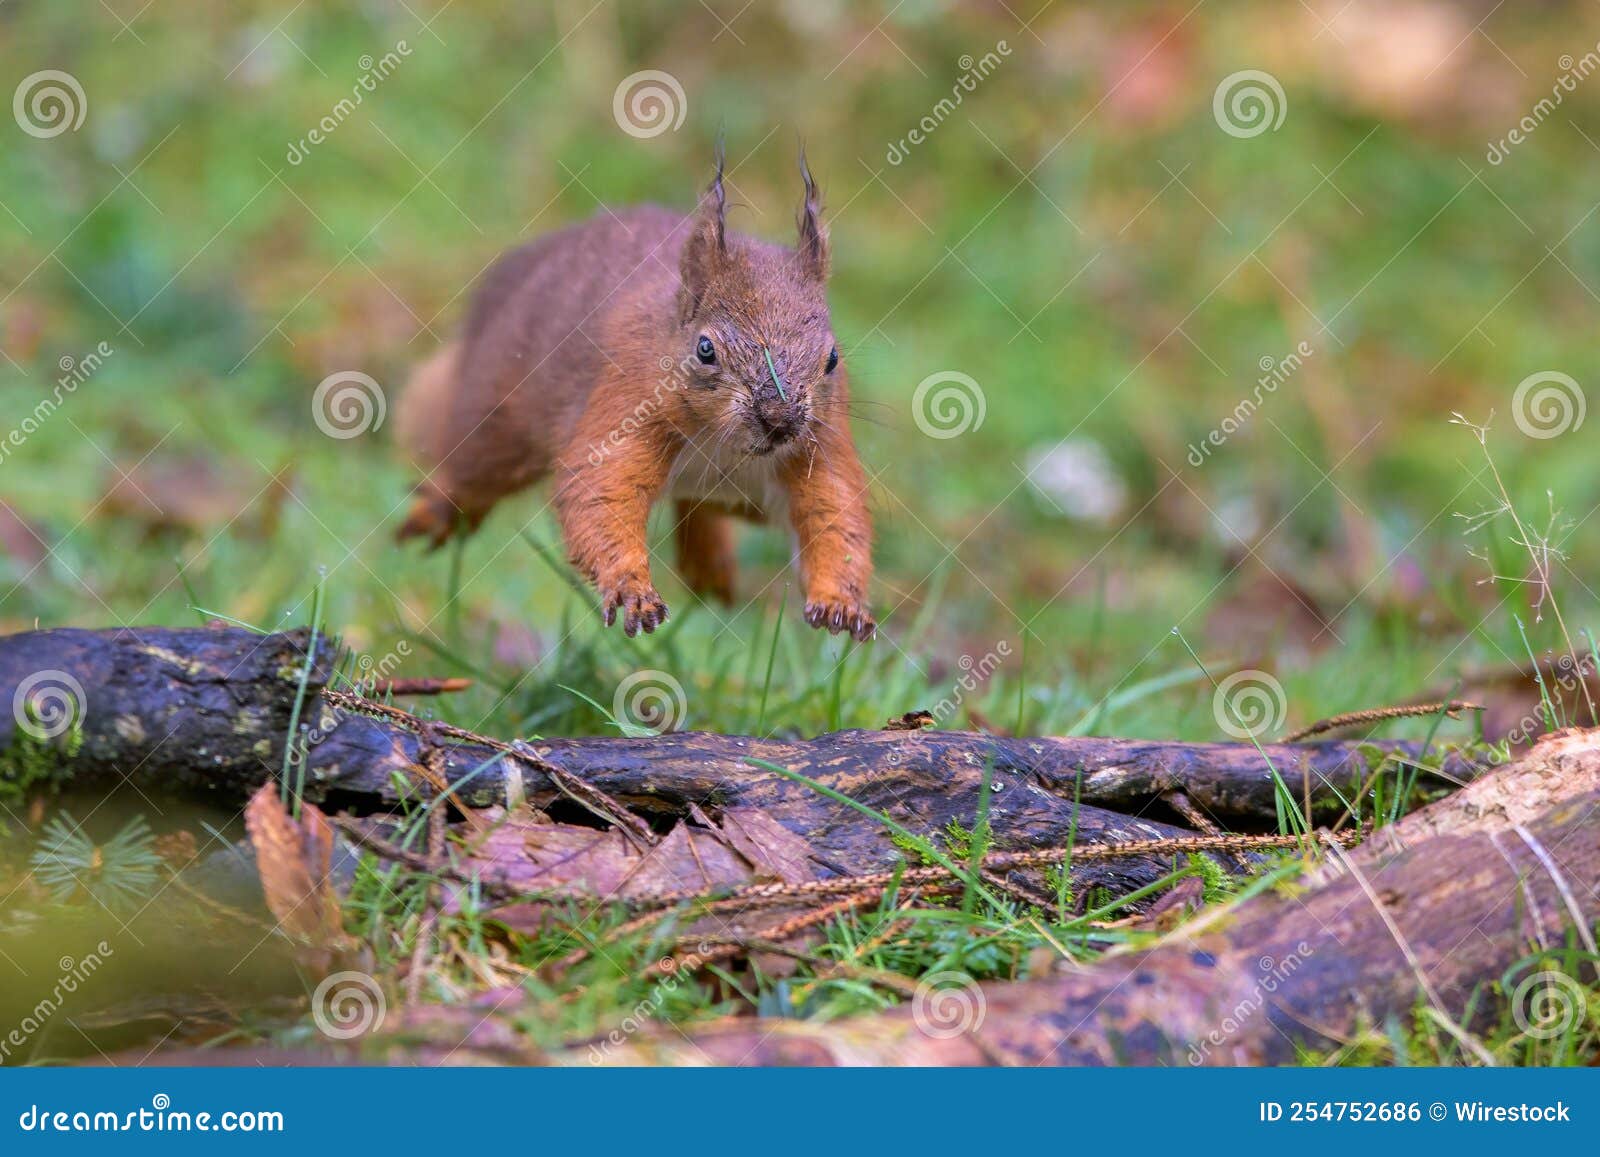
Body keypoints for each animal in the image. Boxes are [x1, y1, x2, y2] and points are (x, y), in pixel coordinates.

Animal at [394, 148, 874, 641]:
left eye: (832, 358)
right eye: (705, 349)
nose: (780, 419)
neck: (725, 449)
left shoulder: (818, 446)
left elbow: (836, 515)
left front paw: (840, 603)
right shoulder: (626, 403)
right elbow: (598, 491)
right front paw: (633, 591)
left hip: (744, 500)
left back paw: (711, 571)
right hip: (497, 417)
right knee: (471, 471)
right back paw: (436, 513)